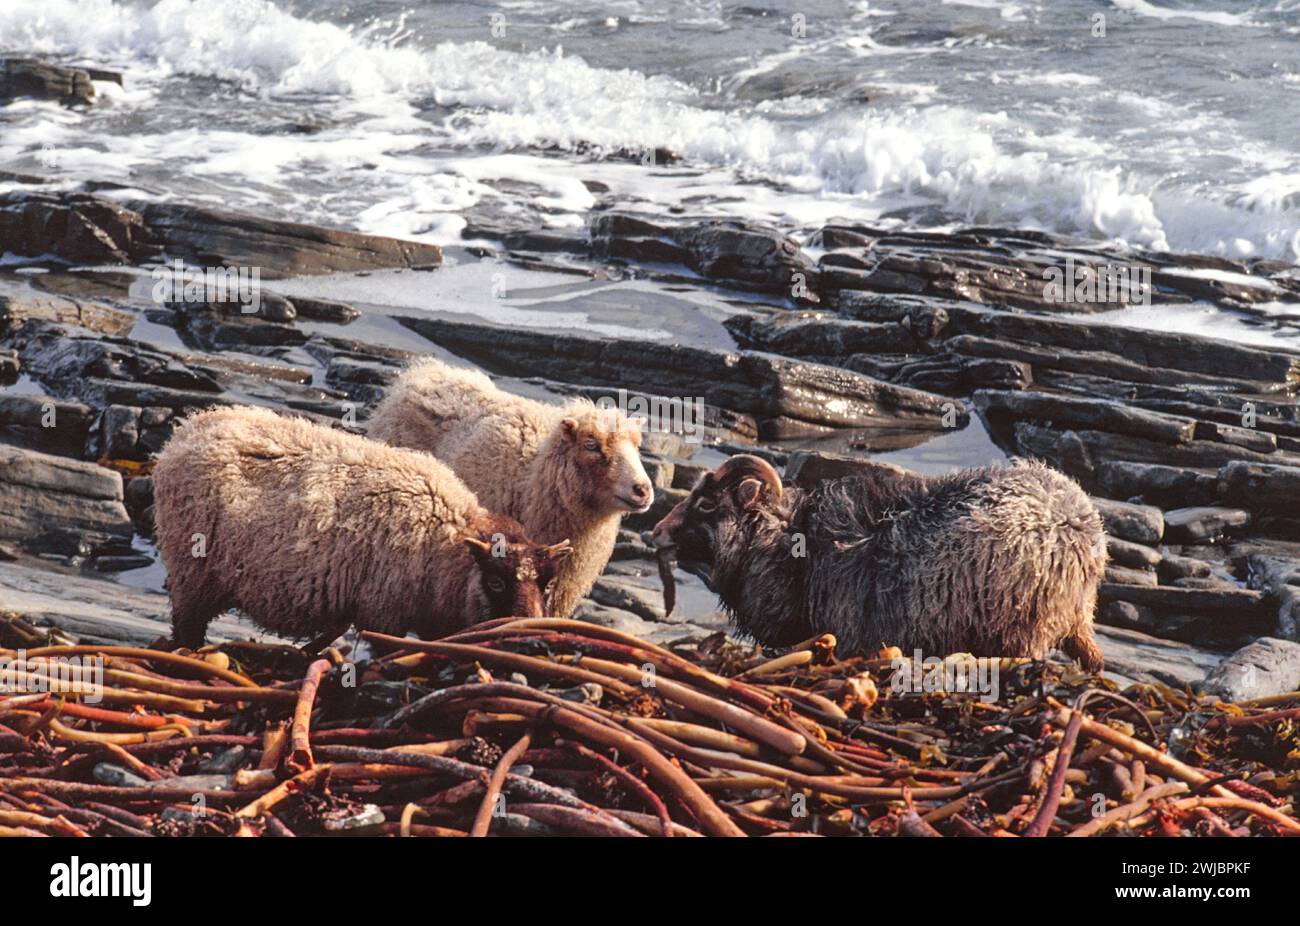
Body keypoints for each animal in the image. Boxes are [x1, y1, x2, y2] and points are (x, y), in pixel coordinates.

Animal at [152, 405, 572, 649]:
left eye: (547, 584)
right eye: (497, 582)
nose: (525, 628)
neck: (444, 542)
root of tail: (189, 429)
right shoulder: (384, 612)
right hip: (195, 571)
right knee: (187, 628)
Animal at [651, 454, 1106, 671]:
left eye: (707, 504)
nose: (654, 532)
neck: (790, 546)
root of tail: (1080, 525)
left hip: (1023, 631)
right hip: (1074, 622)